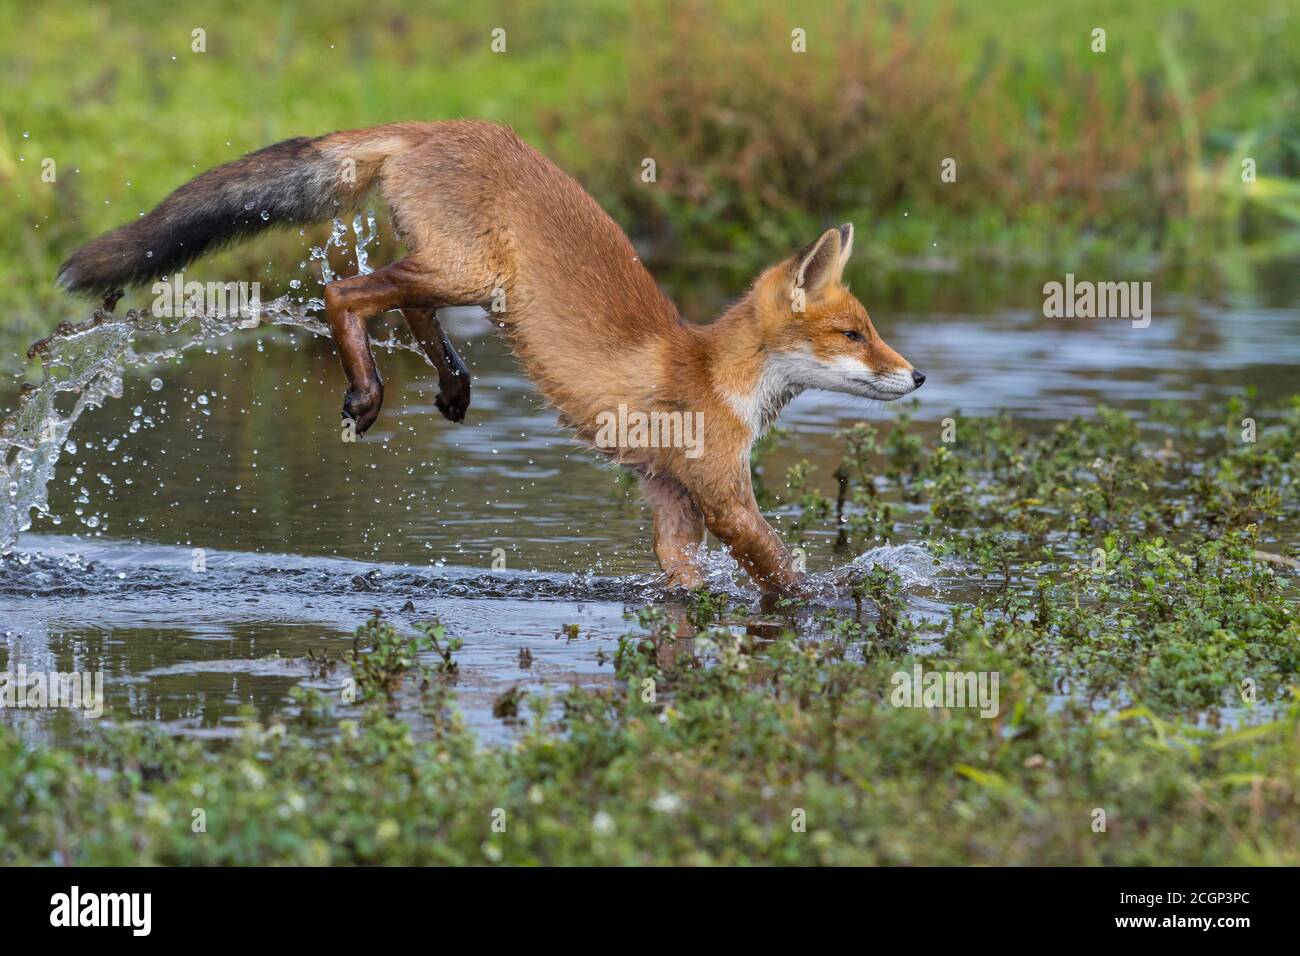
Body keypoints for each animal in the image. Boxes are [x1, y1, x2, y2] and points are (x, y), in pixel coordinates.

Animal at [57, 120, 924, 595]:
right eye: (853, 335)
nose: (917, 375)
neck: (716, 376)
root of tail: (436, 125)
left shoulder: (669, 501)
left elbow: (685, 582)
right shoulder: (722, 498)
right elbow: (786, 574)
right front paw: (839, 606)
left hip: (457, 273)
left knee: (401, 302)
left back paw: (449, 382)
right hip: (470, 272)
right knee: (344, 291)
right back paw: (369, 390)